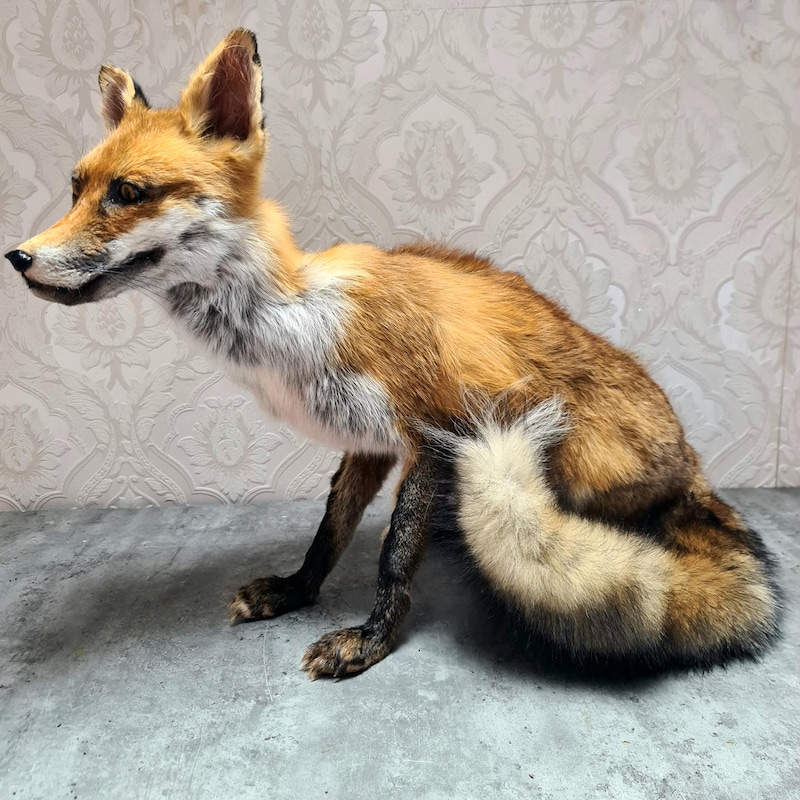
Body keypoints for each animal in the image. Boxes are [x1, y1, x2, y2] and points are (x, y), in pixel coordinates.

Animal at [6, 30, 779, 679]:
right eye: (75, 188)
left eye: (127, 193)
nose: (18, 257)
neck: (296, 321)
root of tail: (694, 465)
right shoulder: (370, 441)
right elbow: (330, 532)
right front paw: (295, 591)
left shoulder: (439, 431)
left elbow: (392, 554)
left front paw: (372, 638)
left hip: (577, 451)